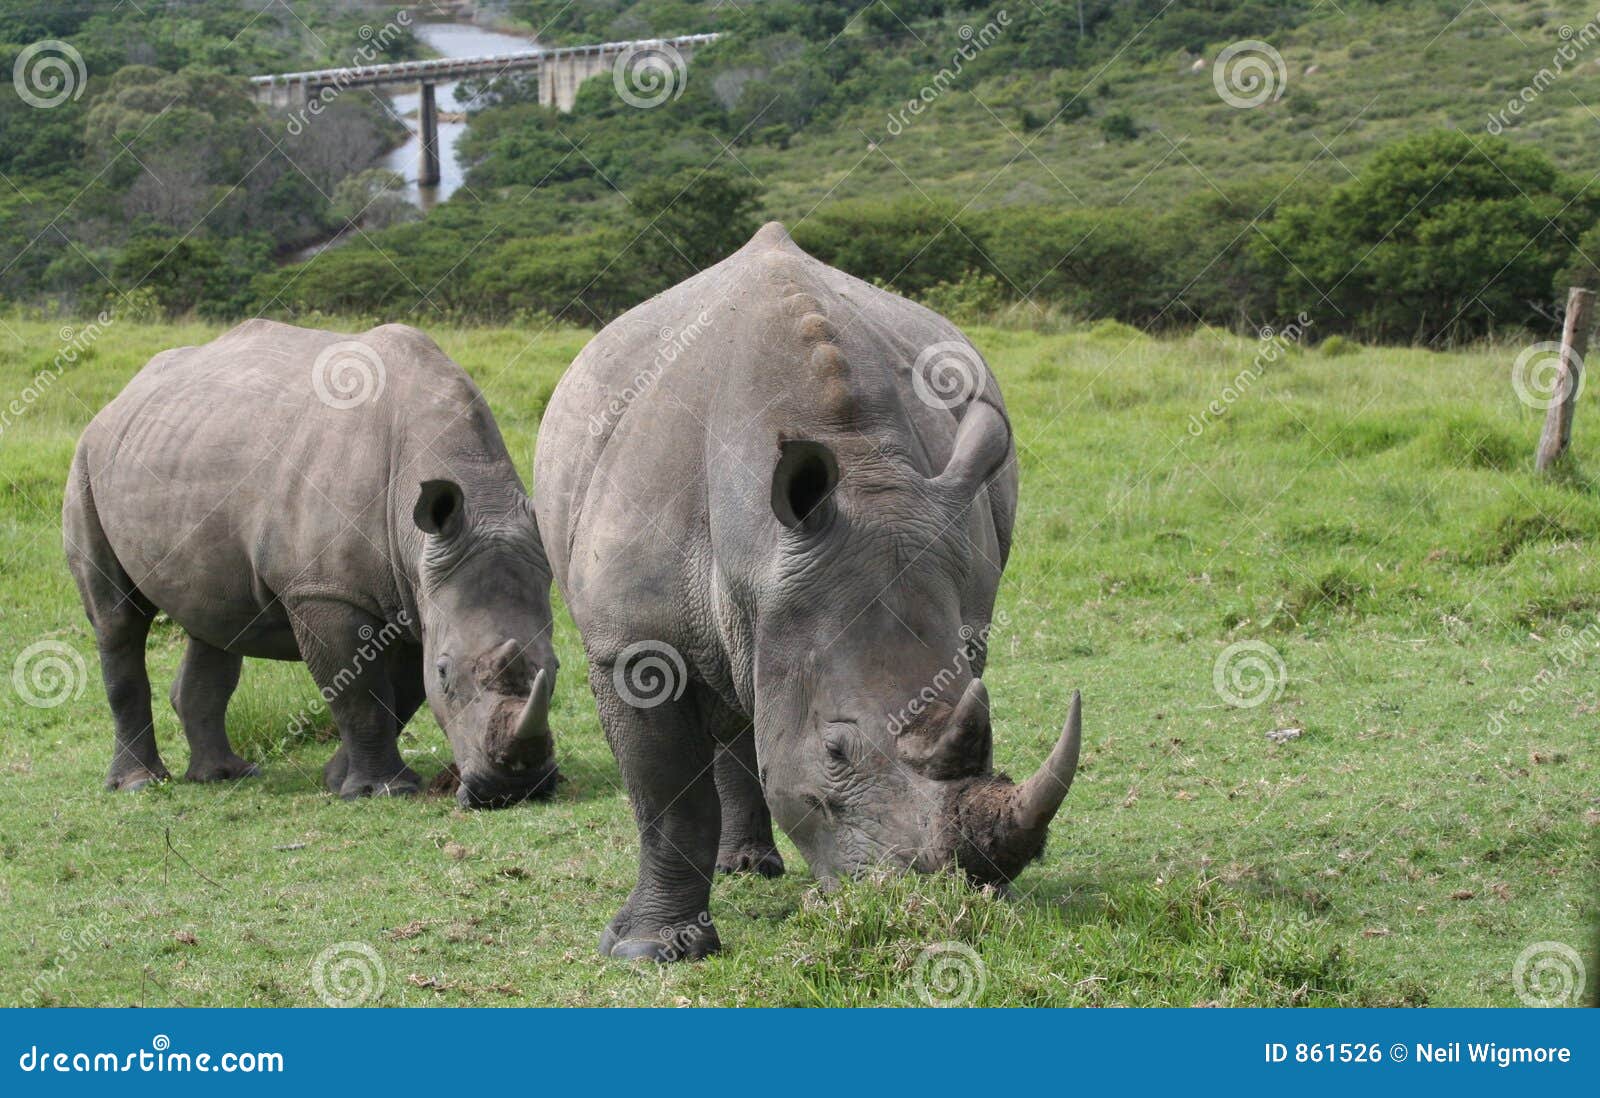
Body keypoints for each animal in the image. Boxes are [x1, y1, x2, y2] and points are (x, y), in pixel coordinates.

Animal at [63, 319, 560, 808]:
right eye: (445, 671)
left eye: (555, 669)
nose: (513, 789)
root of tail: (122, 395)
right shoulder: (327, 591)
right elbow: (362, 692)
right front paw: (380, 790)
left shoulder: (419, 588)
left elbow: (401, 692)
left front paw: (338, 779)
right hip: (86, 460)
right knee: (118, 620)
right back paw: (140, 784)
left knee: (216, 621)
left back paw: (224, 774)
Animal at [533, 223, 1082, 960]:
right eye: (834, 753)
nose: (940, 898)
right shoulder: (630, 644)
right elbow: (669, 802)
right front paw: (650, 952)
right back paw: (741, 870)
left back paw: (748, 866)